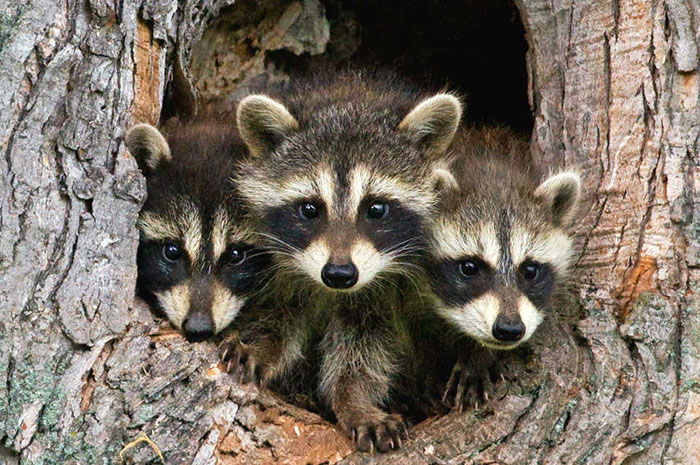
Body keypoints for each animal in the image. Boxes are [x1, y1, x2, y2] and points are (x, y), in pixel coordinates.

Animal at [227, 72, 462, 452]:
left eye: (376, 208)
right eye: (310, 209)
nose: (339, 274)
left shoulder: (382, 291)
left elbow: (364, 347)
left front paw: (354, 399)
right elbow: (280, 314)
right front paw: (262, 345)